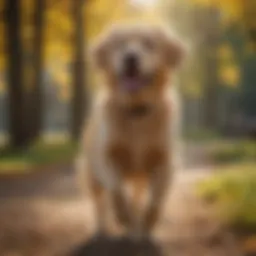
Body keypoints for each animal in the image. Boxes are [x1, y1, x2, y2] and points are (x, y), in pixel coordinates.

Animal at [80, 24, 186, 238]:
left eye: (149, 44)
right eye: (120, 45)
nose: (130, 57)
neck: (136, 111)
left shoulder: (166, 160)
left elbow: (156, 198)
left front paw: (147, 224)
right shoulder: (106, 157)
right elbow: (116, 189)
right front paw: (124, 218)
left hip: (140, 178)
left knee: (138, 197)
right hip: (92, 175)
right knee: (100, 203)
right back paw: (104, 228)